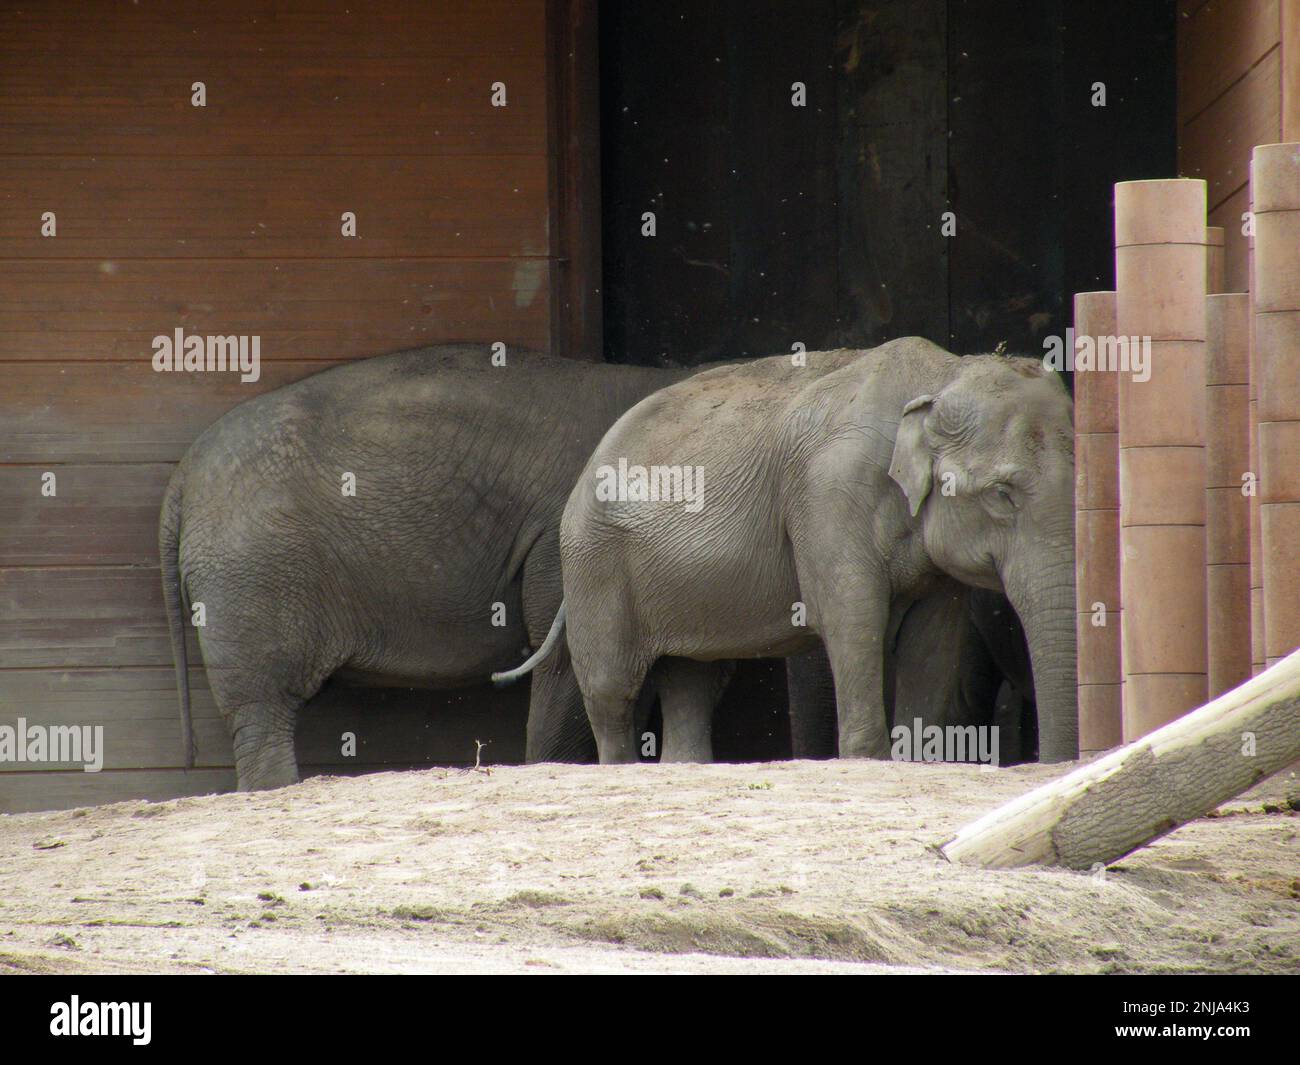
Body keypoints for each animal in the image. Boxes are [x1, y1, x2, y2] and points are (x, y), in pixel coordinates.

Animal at [503, 336, 1078, 764]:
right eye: (1002, 495)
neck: (943, 374)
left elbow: (933, 639)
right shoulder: (828, 497)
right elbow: (851, 621)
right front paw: (865, 760)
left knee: (691, 680)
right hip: (594, 564)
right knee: (611, 692)